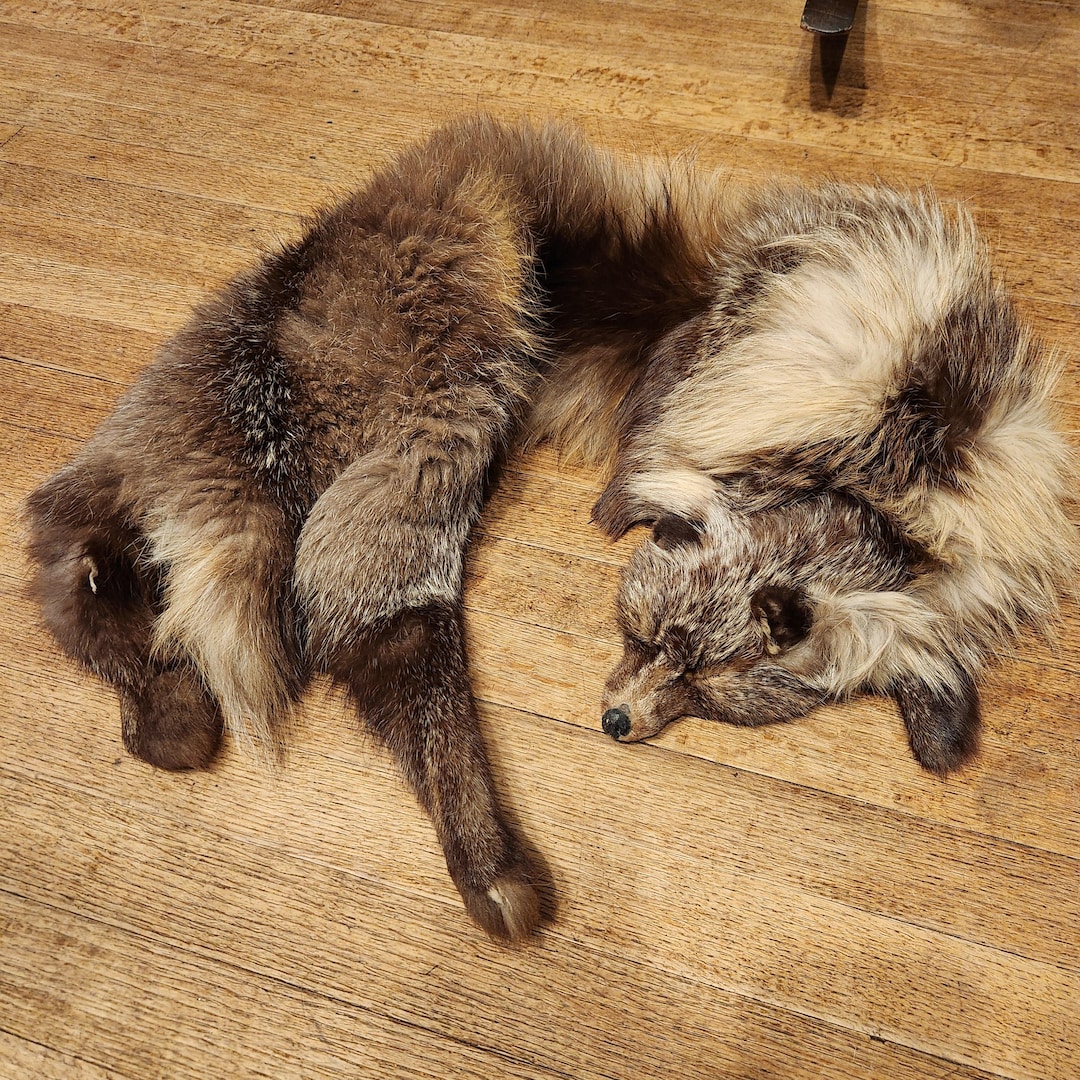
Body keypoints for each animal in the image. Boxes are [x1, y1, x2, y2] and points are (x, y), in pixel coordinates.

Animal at [25, 115, 1075, 941]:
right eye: (651, 640)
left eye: (708, 700)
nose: (617, 726)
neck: (869, 487)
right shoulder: (785, 336)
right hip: (454, 348)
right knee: (352, 604)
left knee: (105, 548)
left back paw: (159, 693)